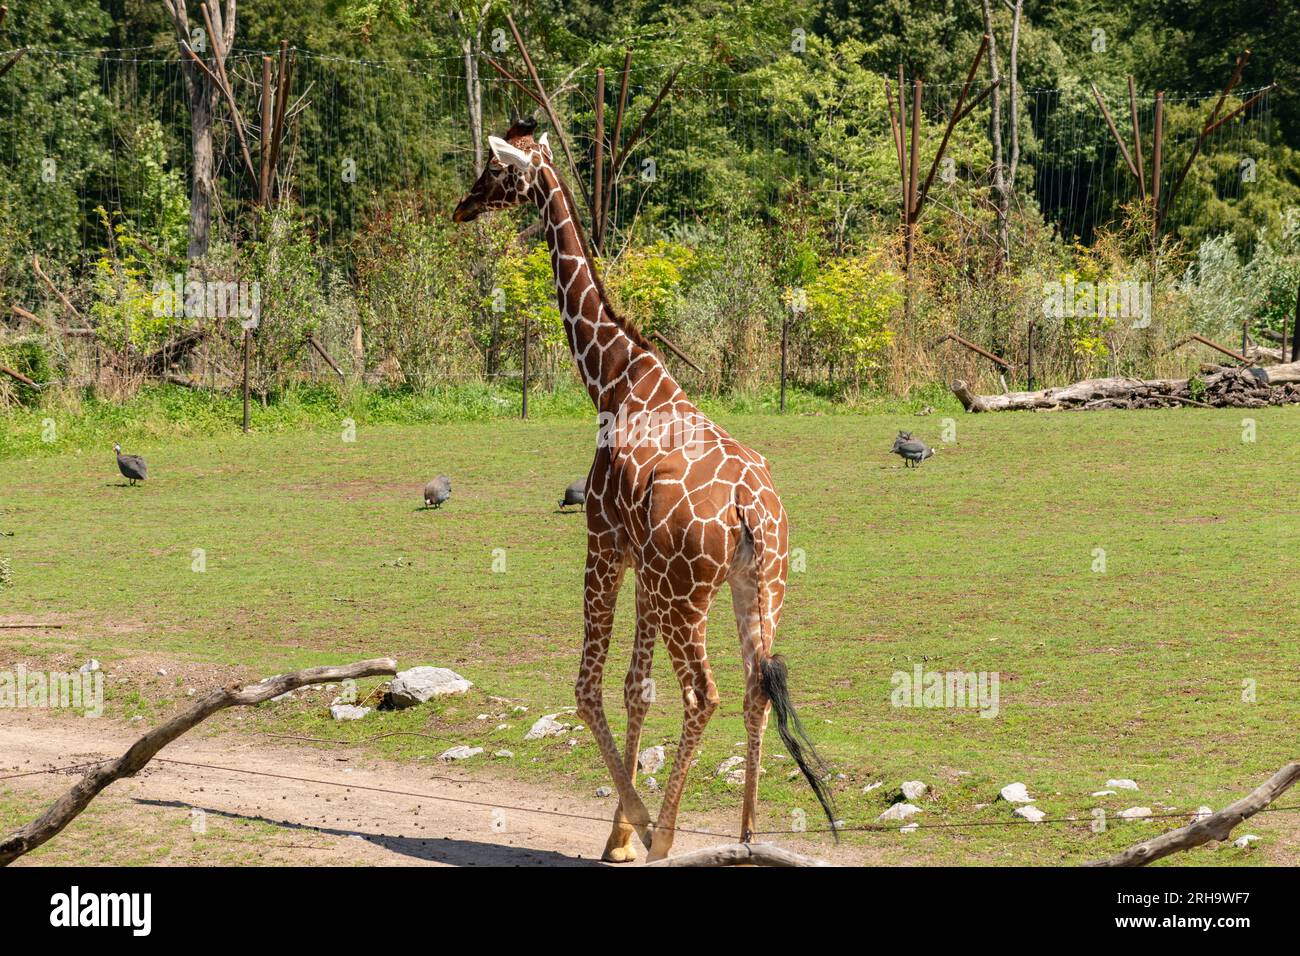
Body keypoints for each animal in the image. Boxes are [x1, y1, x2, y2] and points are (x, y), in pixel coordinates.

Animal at [453, 118, 835, 862]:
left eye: (498, 169)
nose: (462, 206)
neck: (612, 379)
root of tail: (752, 509)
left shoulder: (605, 543)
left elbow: (589, 687)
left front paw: (632, 827)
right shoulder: (644, 566)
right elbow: (637, 689)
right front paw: (619, 835)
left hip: (689, 596)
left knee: (704, 694)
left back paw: (668, 837)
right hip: (760, 585)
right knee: (755, 686)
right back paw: (745, 836)